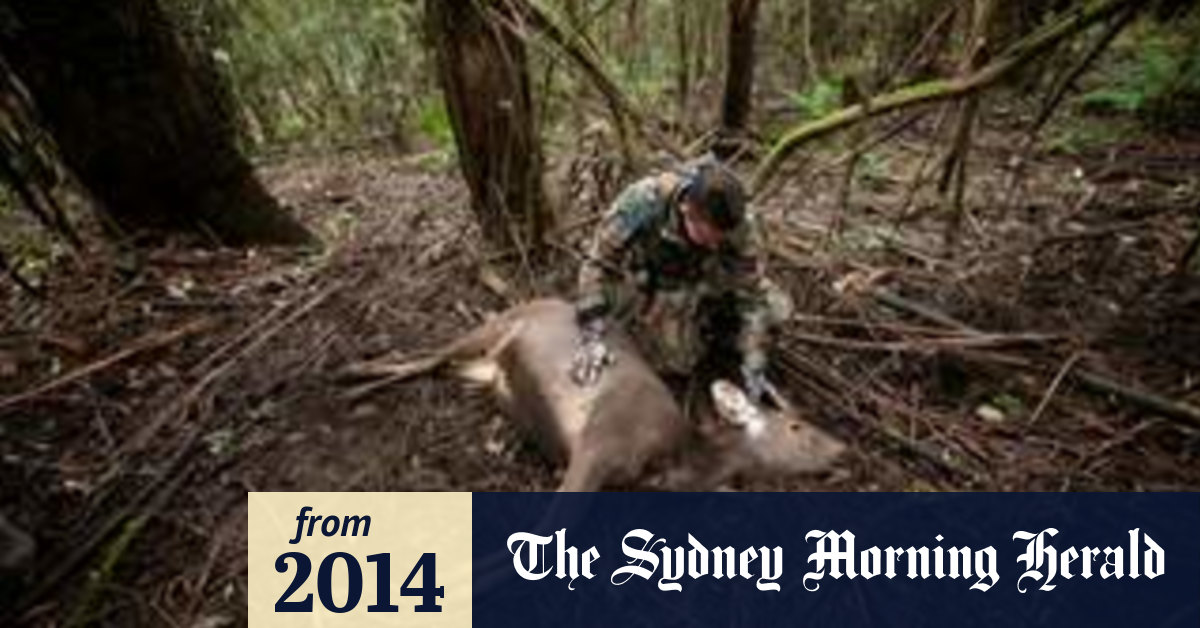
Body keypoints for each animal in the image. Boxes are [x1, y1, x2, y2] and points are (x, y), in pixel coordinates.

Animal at [347, 298, 845, 491]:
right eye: (798, 426)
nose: (843, 448)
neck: (669, 465)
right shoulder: (597, 445)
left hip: (487, 369)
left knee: (440, 366)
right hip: (492, 327)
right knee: (431, 356)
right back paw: (354, 373)